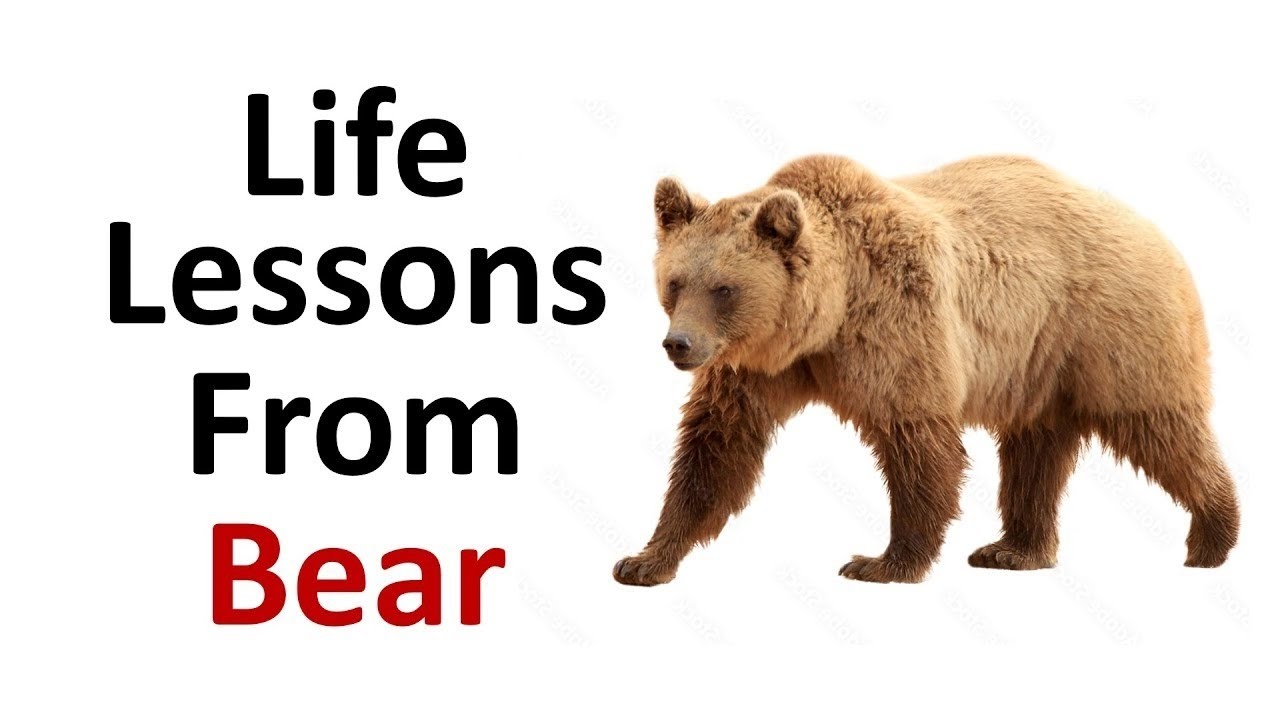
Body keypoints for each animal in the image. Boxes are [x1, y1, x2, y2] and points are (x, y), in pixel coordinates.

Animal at [613, 153, 1240, 585]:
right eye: (675, 282)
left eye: (724, 288)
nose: (678, 344)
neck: (825, 318)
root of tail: (1155, 228)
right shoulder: (755, 367)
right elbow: (716, 449)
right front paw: (644, 560)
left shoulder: (897, 325)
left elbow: (917, 442)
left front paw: (880, 561)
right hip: (1040, 367)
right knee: (1035, 452)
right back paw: (1015, 549)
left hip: (1110, 329)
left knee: (1160, 426)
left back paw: (1212, 535)